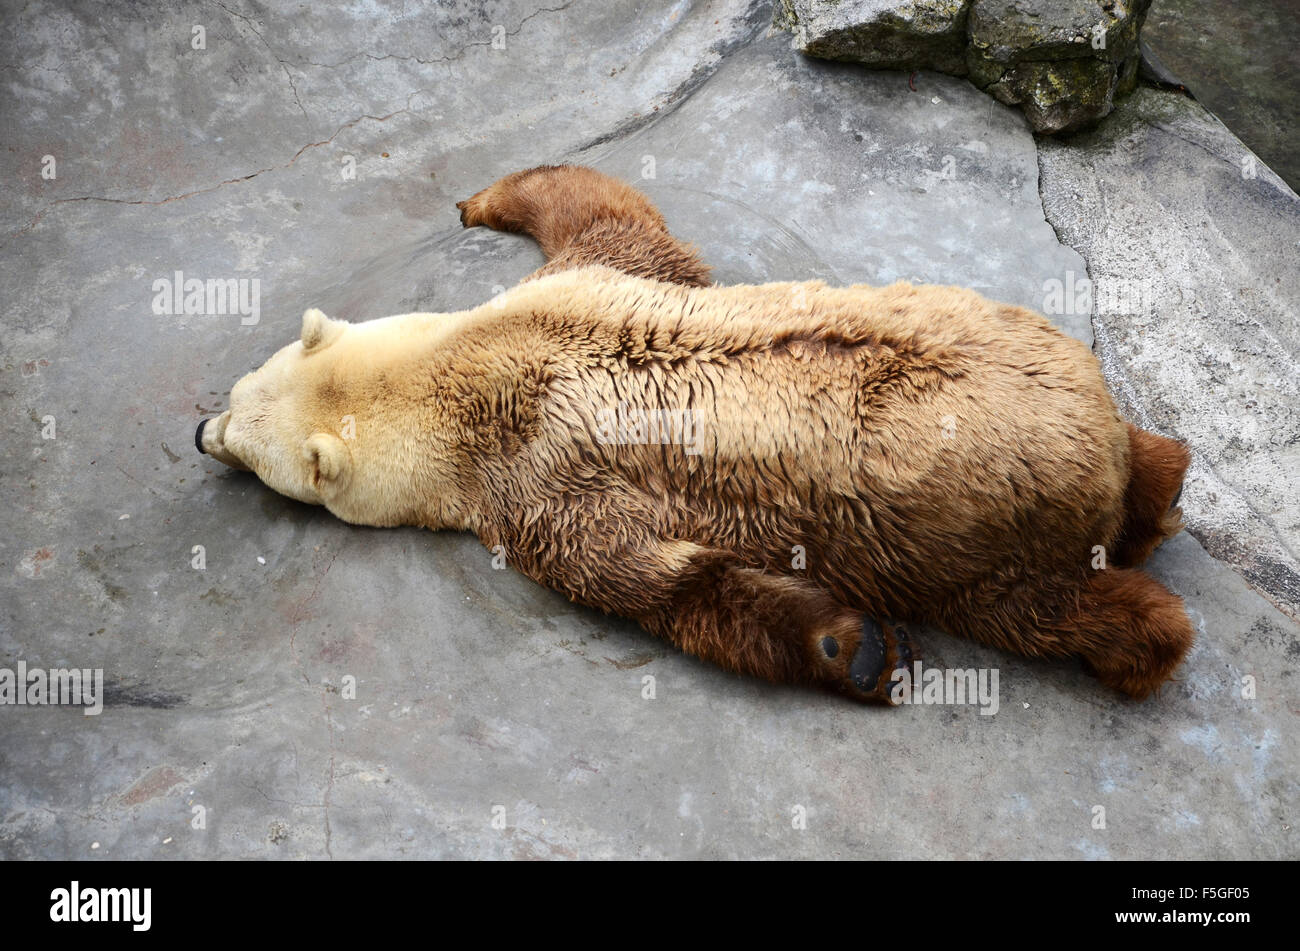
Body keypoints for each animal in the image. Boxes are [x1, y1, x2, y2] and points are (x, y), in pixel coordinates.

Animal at [196, 164, 1194, 703]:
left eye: (244, 438)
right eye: (240, 395)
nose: (201, 428)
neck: (475, 372)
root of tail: (1096, 449)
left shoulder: (542, 478)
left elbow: (654, 579)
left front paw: (856, 648)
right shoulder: (587, 288)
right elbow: (618, 220)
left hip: (981, 535)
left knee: (1048, 608)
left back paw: (1143, 637)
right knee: (1148, 467)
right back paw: (1166, 484)